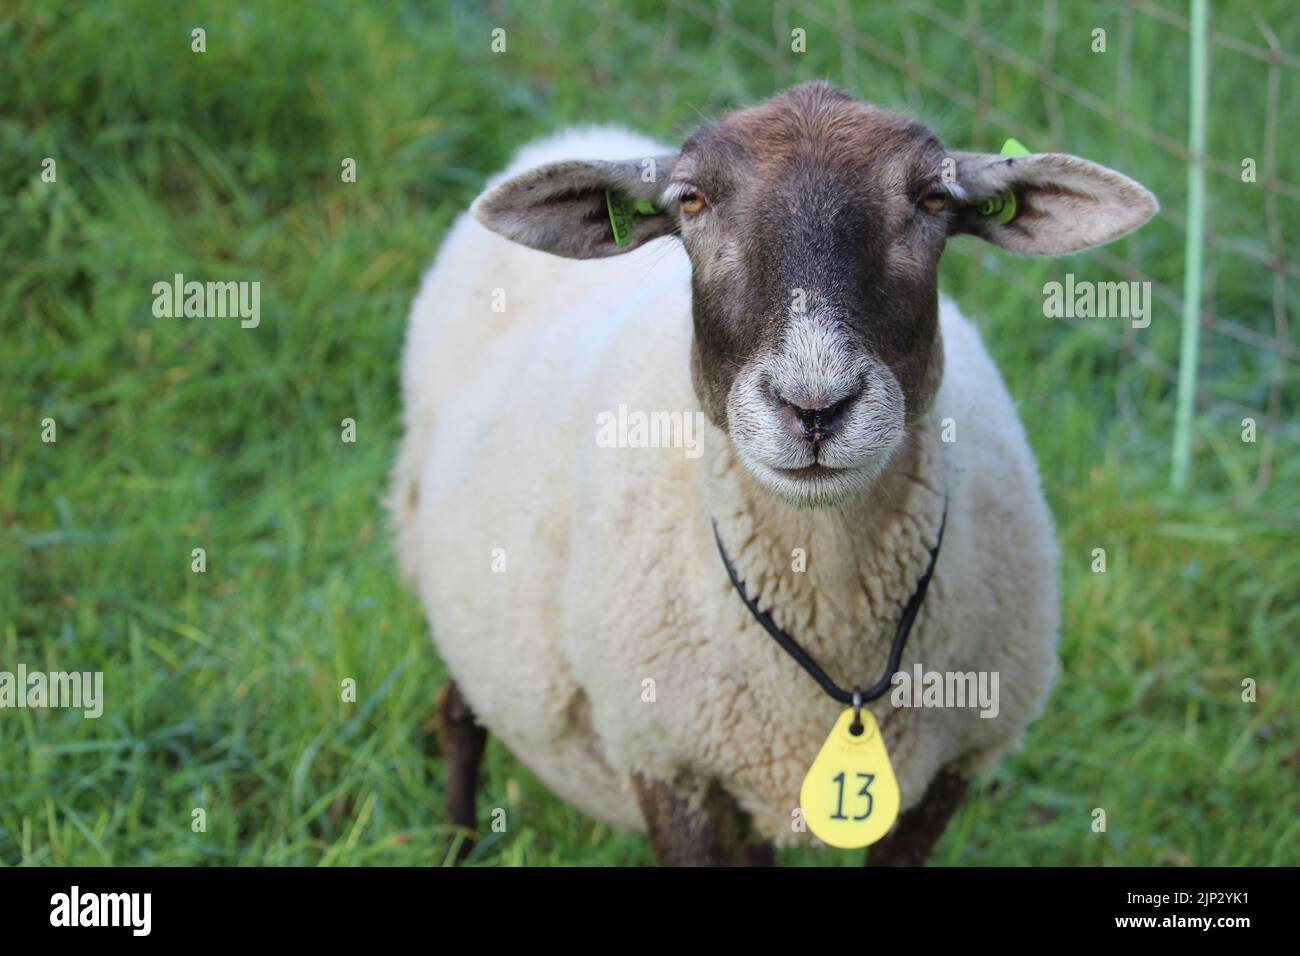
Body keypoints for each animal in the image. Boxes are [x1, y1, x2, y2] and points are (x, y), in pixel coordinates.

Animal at [392, 82, 1157, 865]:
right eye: (691, 199)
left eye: (933, 199)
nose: (814, 407)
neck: (831, 593)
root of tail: (569, 136)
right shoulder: (670, 765)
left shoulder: (949, 771)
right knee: (458, 711)